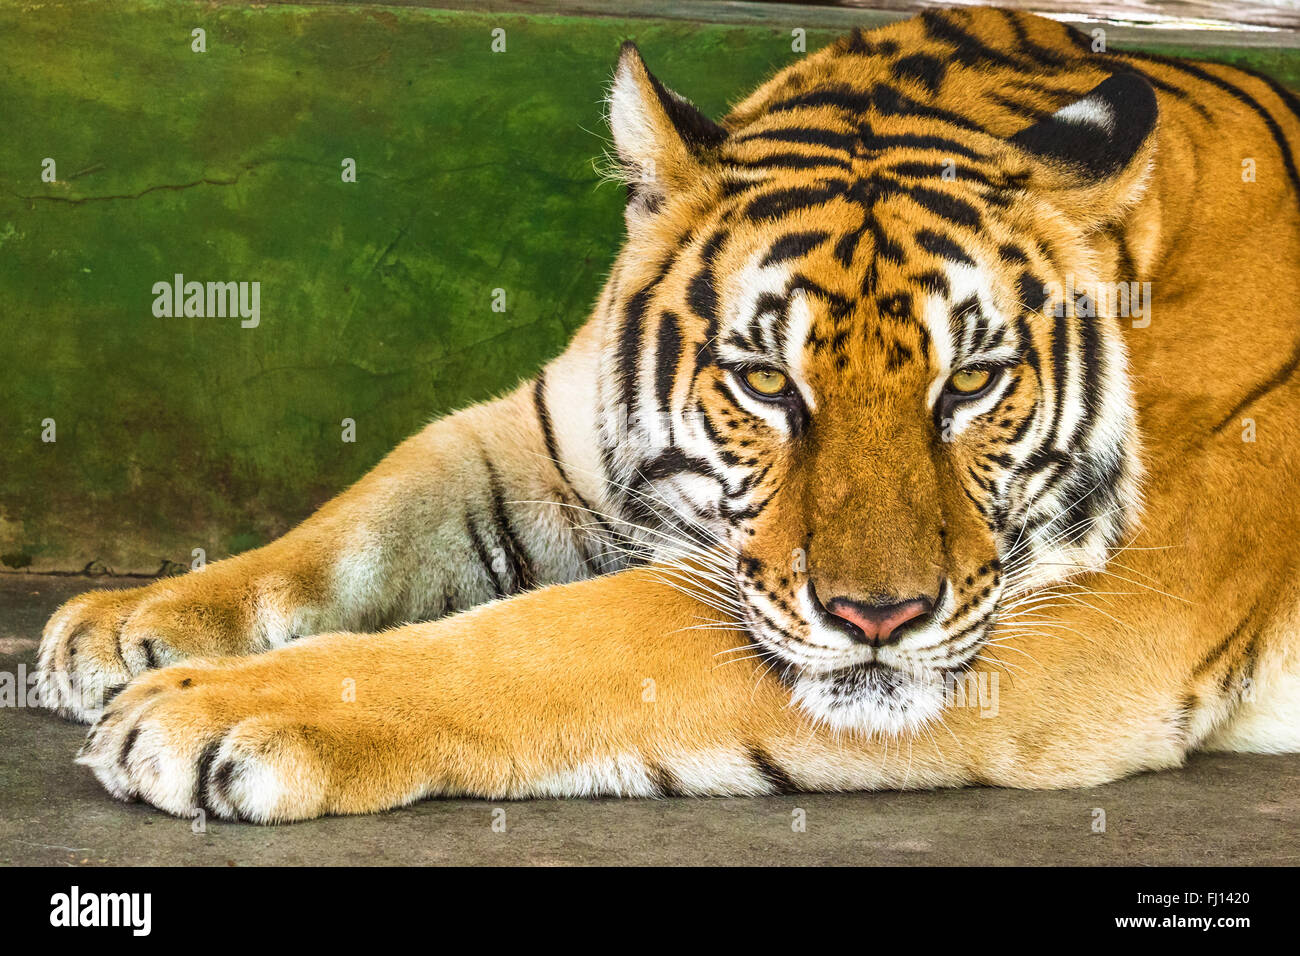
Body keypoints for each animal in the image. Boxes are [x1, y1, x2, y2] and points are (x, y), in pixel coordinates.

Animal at [37, 6, 1300, 822]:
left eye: (971, 384)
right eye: (767, 383)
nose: (881, 617)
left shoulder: (1062, 618)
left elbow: (560, 637)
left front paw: (206, 710)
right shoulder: (550, 434)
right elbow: (370, 510)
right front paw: (125, 625)